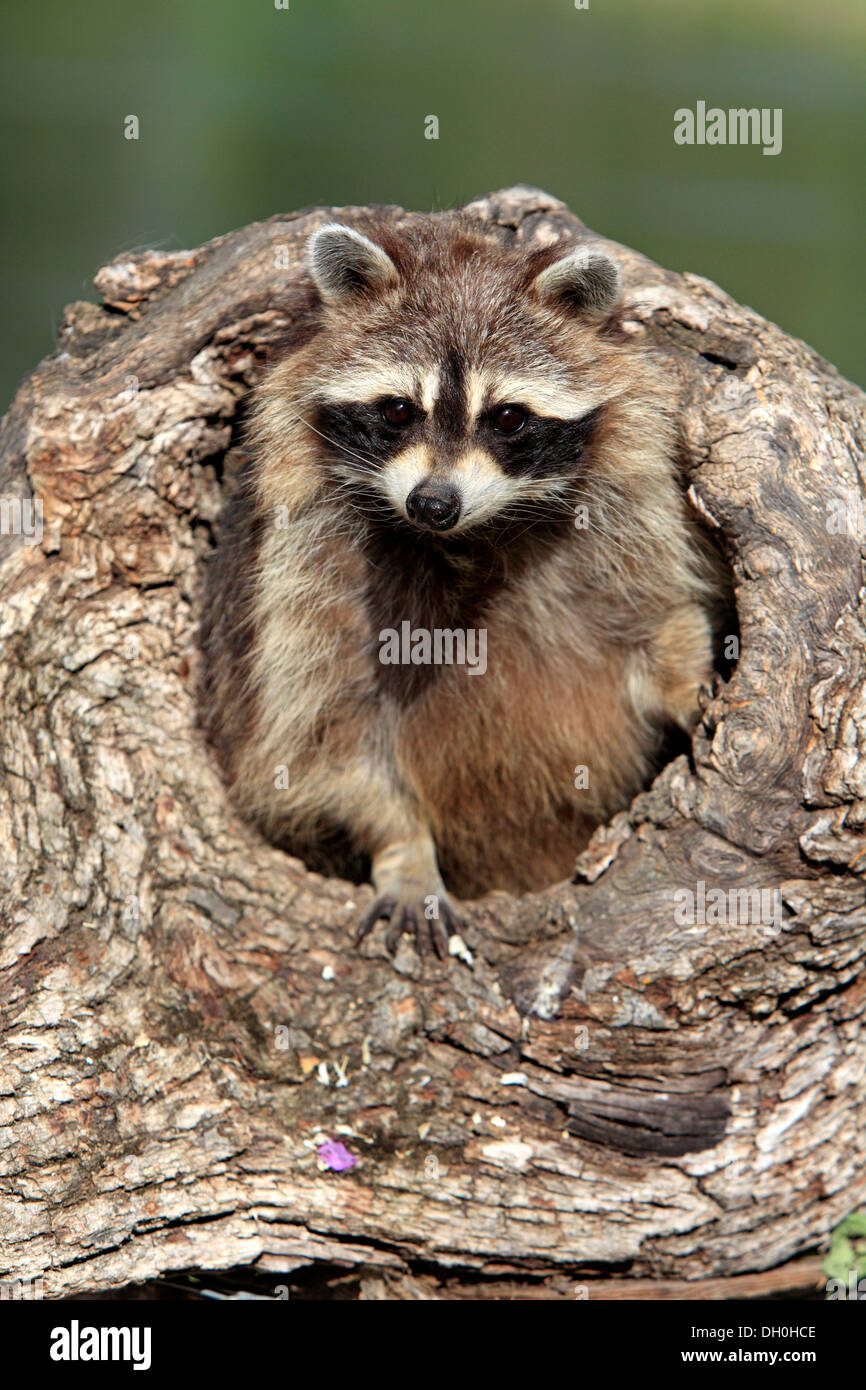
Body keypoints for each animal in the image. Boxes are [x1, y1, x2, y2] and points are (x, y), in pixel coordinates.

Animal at [200, 214, 720, 958]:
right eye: (396, 411)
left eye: (506, 417)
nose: (433, 503)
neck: (469, 537)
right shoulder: (304, 556)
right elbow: (321, 731)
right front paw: (404, 848)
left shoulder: (623, 511)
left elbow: (657, 616)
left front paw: (686, 681)